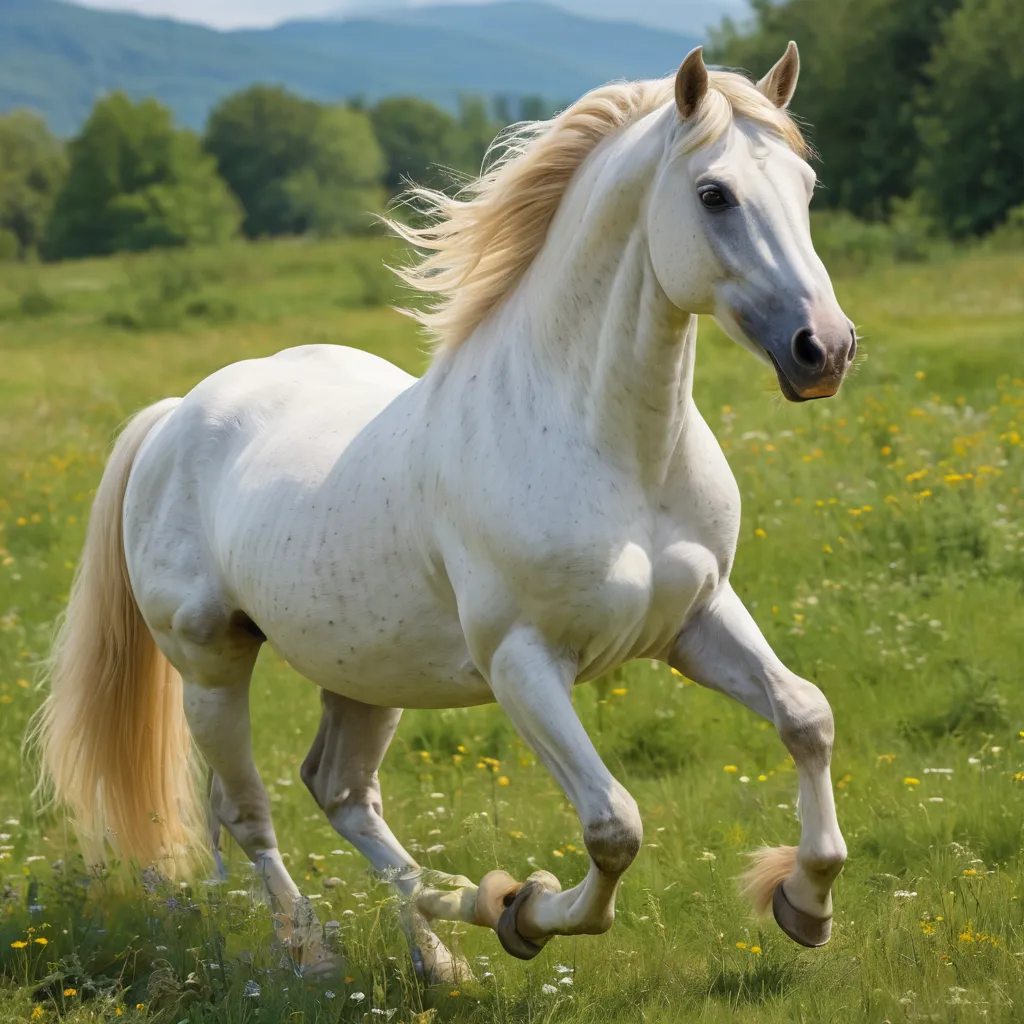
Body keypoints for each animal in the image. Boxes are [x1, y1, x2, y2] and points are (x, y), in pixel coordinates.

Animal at [34, 43, 854, 982]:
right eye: (715, 194)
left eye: (806, 185)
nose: (825, 350)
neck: (611, 448)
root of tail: (175, 416)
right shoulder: (523, 662)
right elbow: (613, 825)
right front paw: (526, 911)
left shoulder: (698, 616)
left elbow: (806, 716)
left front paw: (804, 903)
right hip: (211, 664)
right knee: (248, 813)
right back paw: (321, 947)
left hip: (362, 672)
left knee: (341, 793)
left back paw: (438, 942)